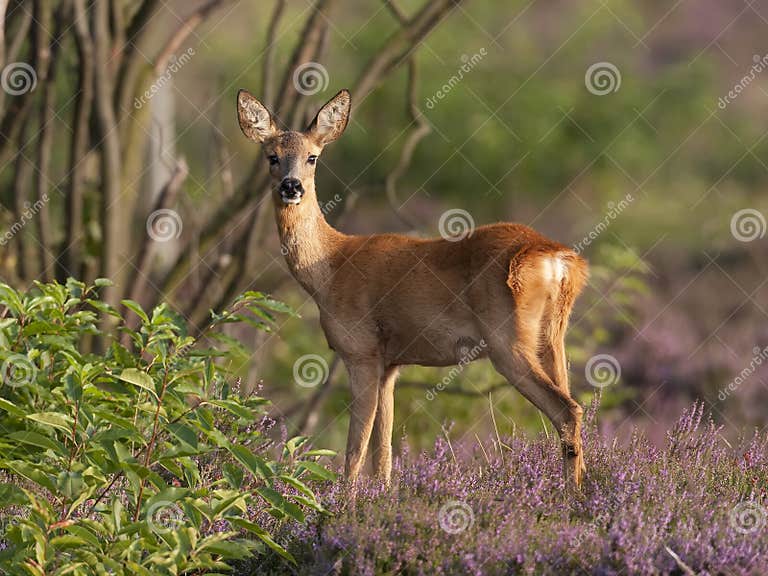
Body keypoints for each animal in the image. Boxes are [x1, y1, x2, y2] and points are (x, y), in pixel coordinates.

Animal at [236, 88, 589, 488]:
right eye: (272, 156)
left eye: (313, 157)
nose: (291, 186)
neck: (330, 267)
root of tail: (555, 256)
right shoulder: (391, 363)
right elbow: (383, 454)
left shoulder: (361, 350)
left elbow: (355, 451)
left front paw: (343, 503)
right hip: (553, 337)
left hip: (507, 340)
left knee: (567, 410)